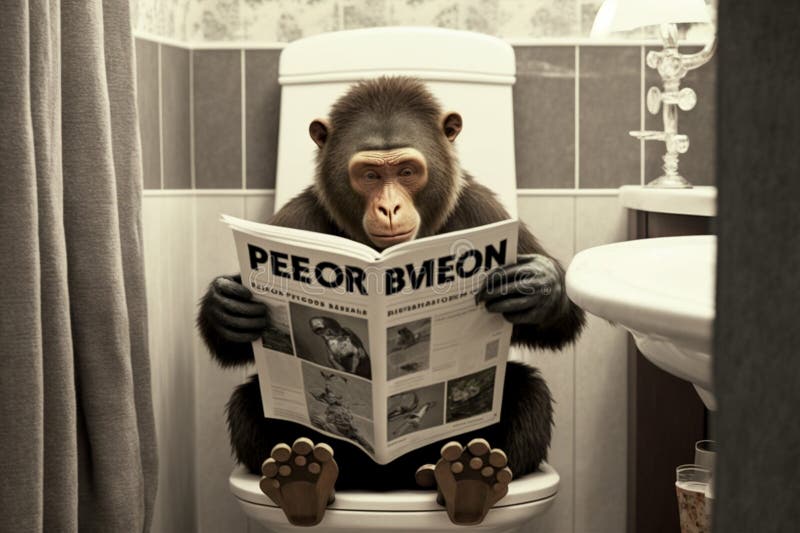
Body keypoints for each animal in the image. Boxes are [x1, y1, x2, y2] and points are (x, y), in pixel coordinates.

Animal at [197, 77, 585, 501]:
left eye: (406, 171)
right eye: (369, 175)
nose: (389, 208)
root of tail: (389, 483)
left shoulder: (485, 212)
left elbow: (558, 325)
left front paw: (538, 285)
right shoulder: (293, 222)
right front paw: (227, 307)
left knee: (528, 392)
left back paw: (469, 474)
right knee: (249, 403)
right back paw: (304, 476)